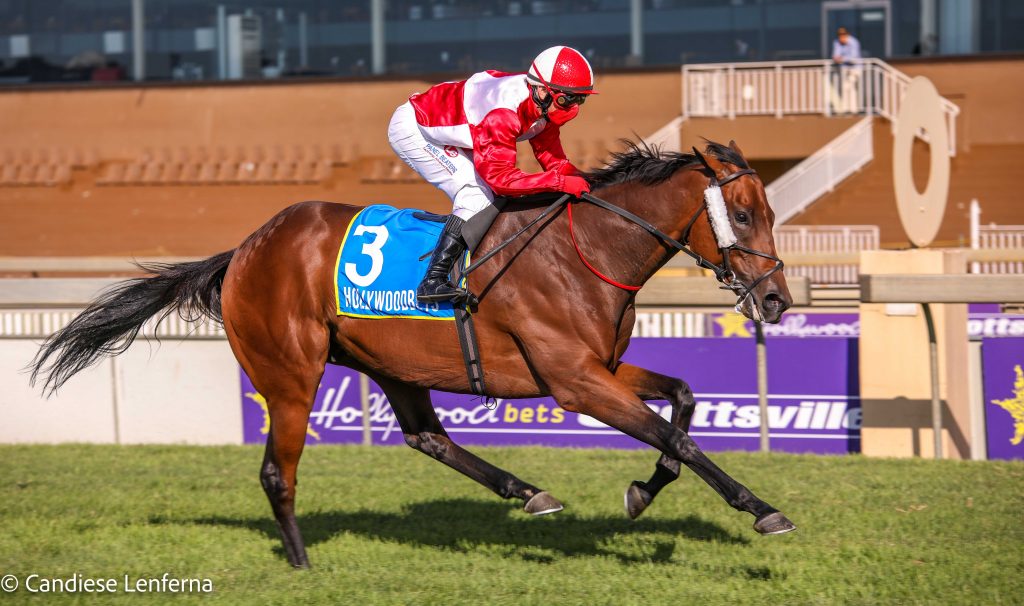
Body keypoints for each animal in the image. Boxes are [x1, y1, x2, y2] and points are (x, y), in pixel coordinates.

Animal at [31, 139, 796, 568]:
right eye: (745, 214)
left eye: (770, 212)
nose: (777, 300)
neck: (588, 252)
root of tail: (245, 249)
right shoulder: (574, 382)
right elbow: (678, 435)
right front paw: (761, 508)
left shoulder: (599, 369)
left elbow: (683, 400)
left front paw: (643, 489)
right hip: (289, 374)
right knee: (279, 473)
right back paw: (302, 563)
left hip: (391, 365)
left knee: (427, 436)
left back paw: (527, 491)